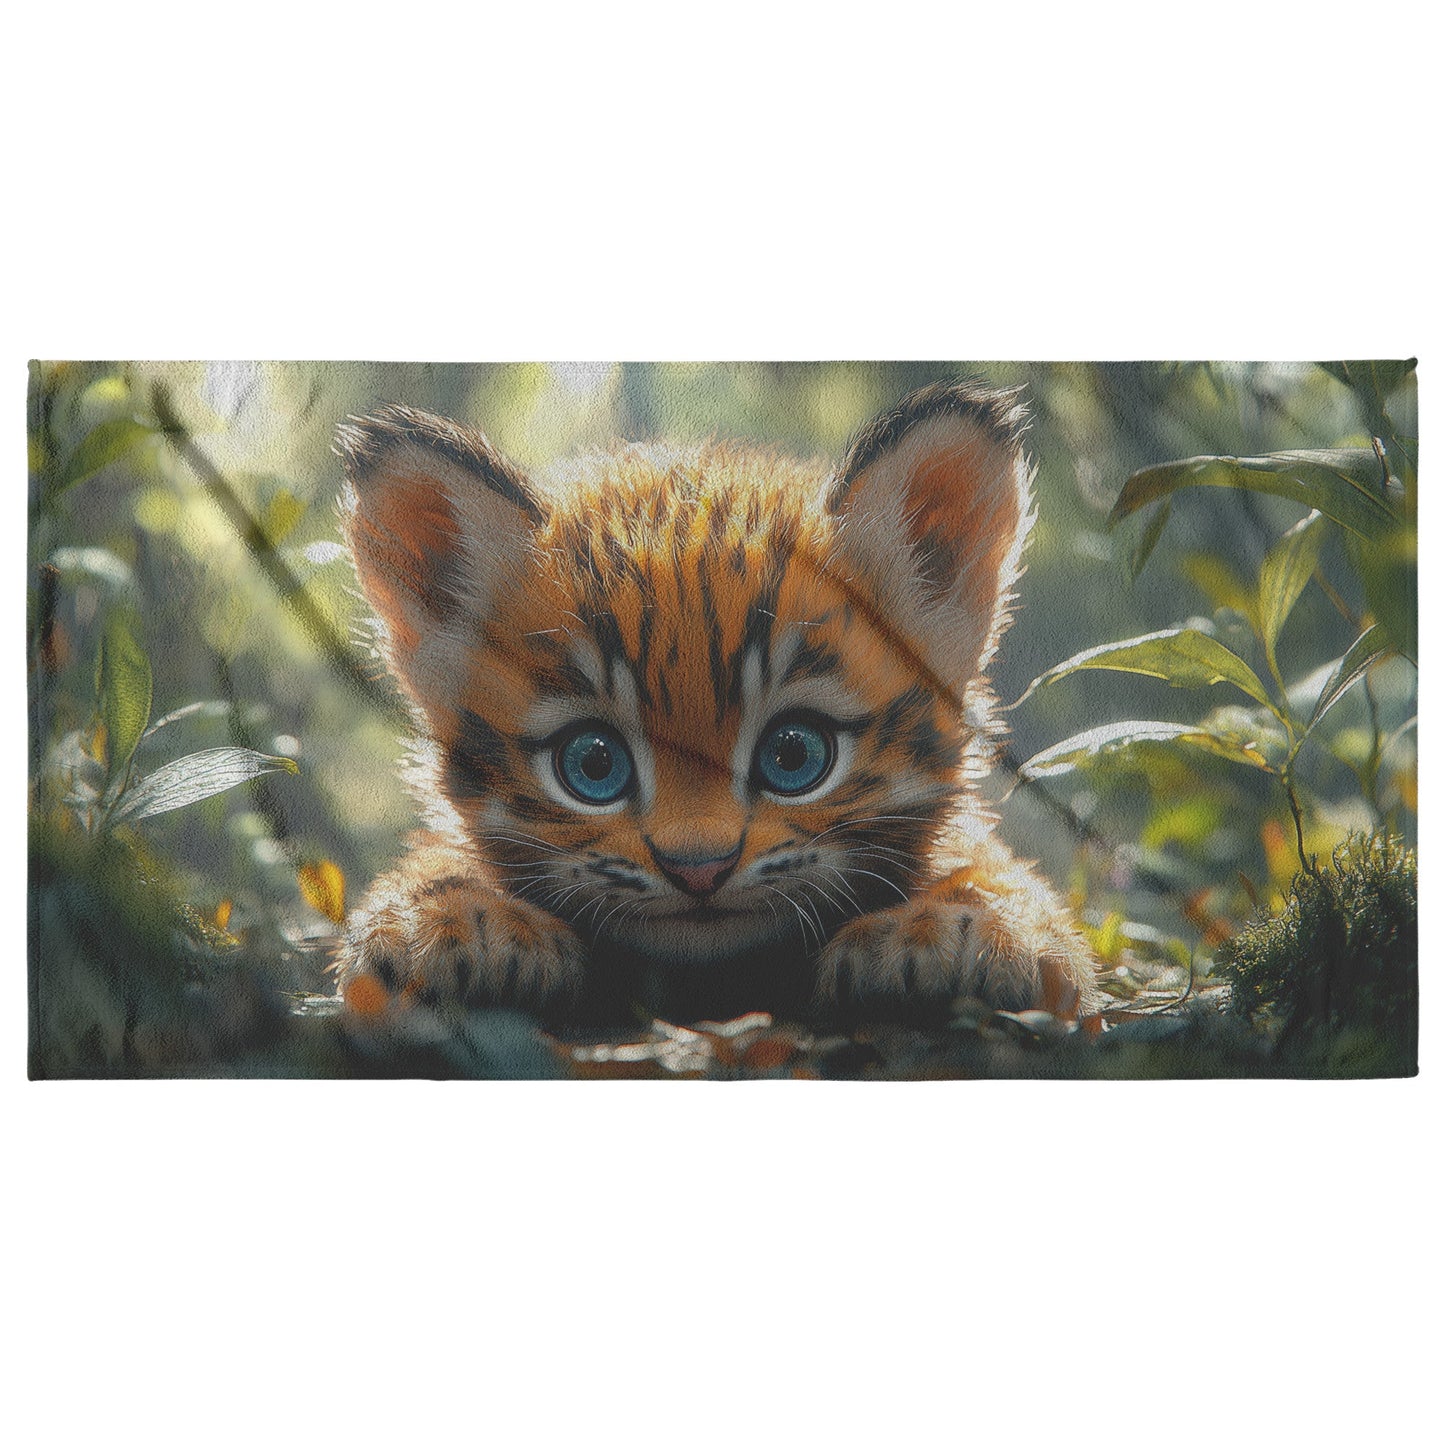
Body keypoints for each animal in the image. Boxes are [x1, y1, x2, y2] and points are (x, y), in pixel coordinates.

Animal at [332, 378, 1100, 1023]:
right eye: (593, 765)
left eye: (793, 755)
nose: (697, 868)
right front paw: (462, 917)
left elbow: (989, 867)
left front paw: (955, 922)